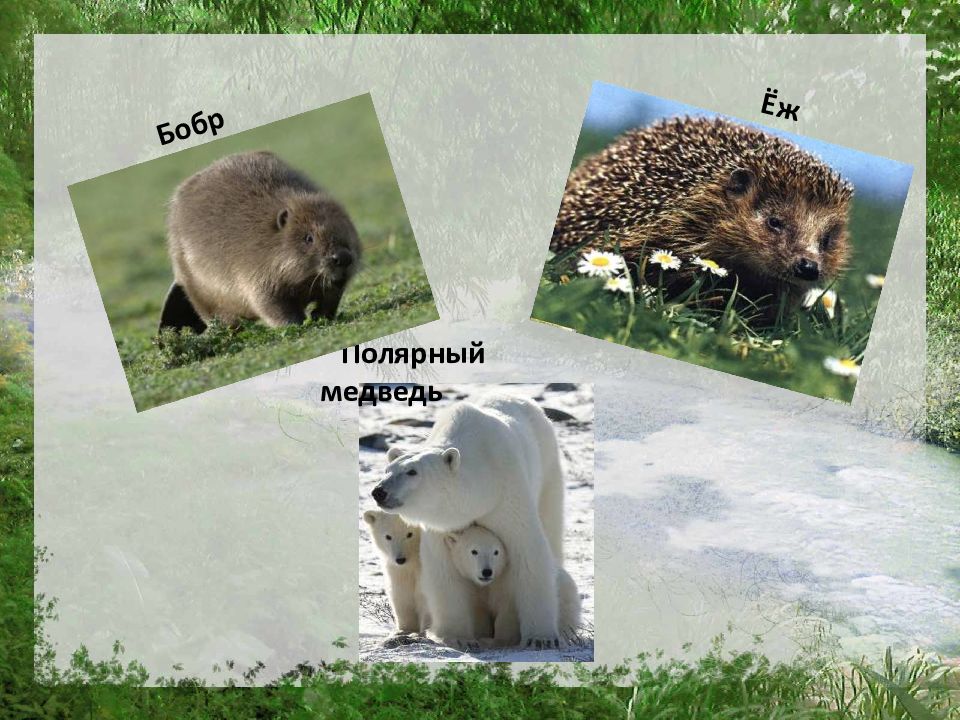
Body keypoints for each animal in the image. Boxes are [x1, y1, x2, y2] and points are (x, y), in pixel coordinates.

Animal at [371, 393, 565, 648]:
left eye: (412, 472)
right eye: (388, 470)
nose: (379, 492)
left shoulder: (507, 495)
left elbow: (529, 551)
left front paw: (540, 638)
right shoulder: (442, 525)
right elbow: (442, 569)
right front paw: (458, 637)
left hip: (547, 467)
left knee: (551, 525)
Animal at [446, 524, 582, 647]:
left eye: (496, 552)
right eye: (474, 551)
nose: (487, 572)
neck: (493, 581)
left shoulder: (509, 585)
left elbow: (507, 613)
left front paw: (494, 641)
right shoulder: (475, 589)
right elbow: (479, 611)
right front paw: (479, 636)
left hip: (565, 596)